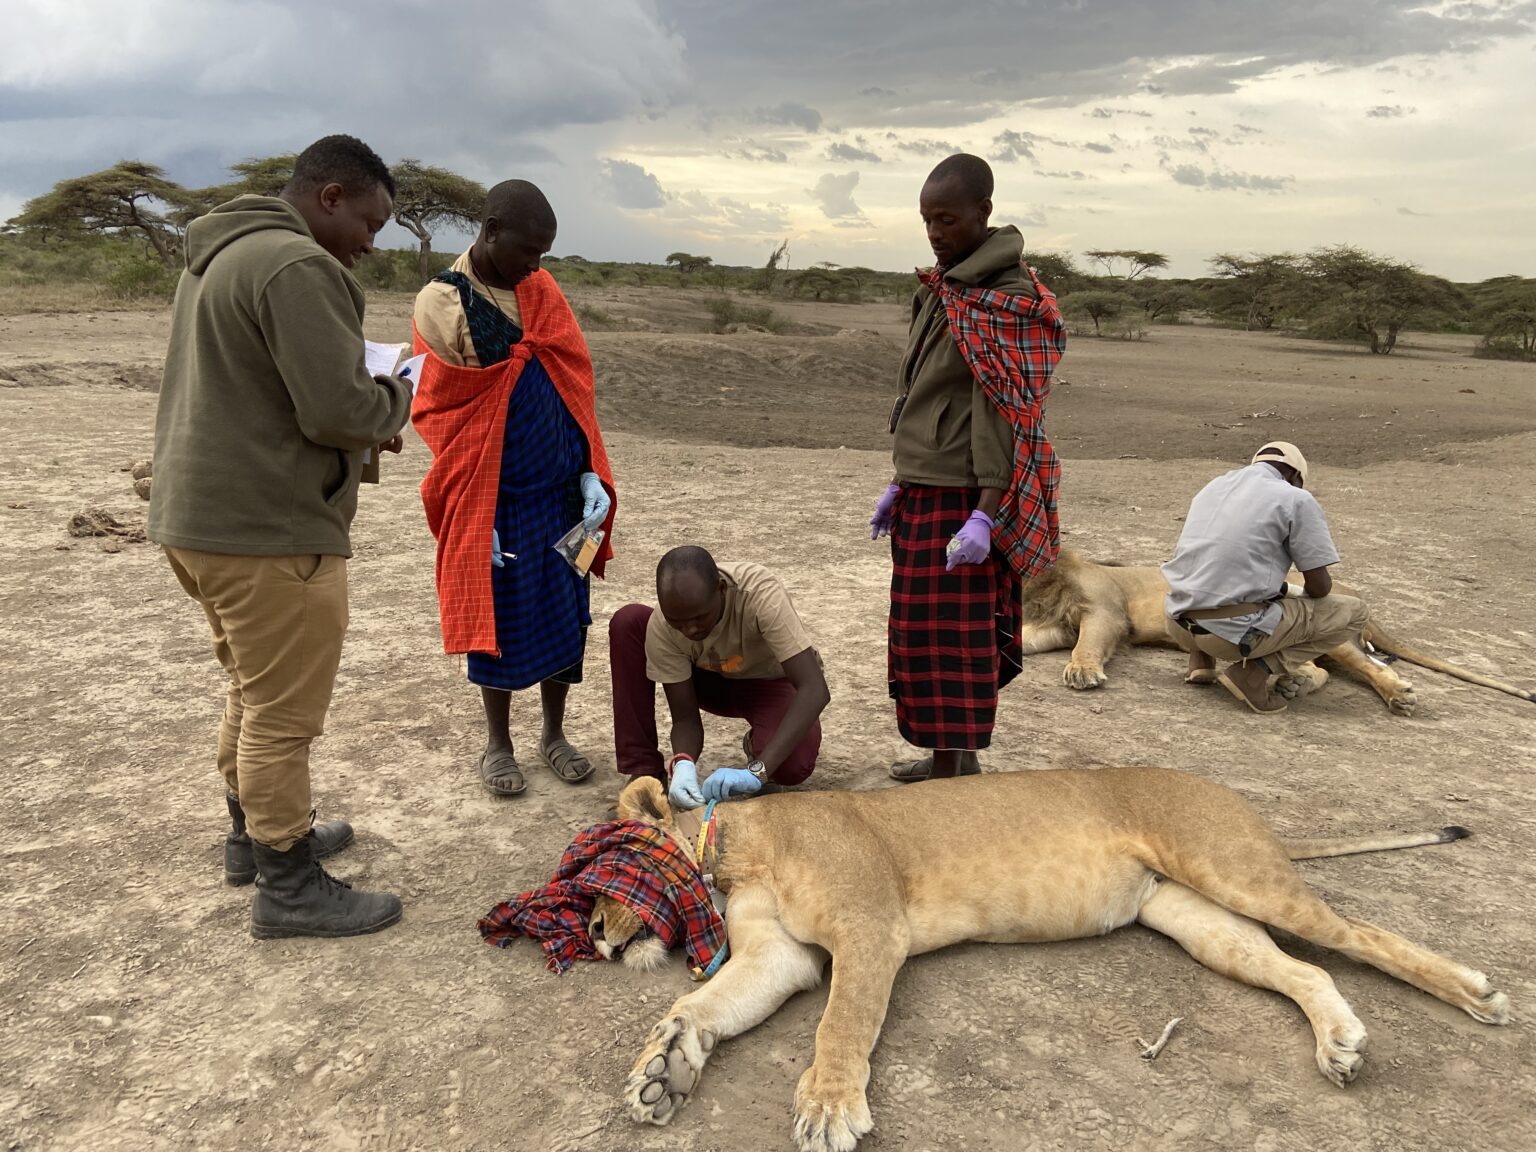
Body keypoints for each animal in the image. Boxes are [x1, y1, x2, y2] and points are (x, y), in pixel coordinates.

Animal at [592, 771, 1508, 1152]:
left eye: (597, 862)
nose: (596, 937)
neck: (733, 855)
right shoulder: (784, 955)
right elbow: (707, 1008)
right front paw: (664, 1067)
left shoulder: (870, 928)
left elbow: (841, 1024)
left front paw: (826, 1108)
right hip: (1191, 915)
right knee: (1306, 968)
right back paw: (1339, 1041)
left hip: (1232, 867)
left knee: (1359, 934)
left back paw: (1476, 993)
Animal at [1016, 549, 1535, 715]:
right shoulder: (1050, 627)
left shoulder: (1106, 612)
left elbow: (1088, 645)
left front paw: (1083, 672)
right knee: (1320, 669)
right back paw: (1290, 682)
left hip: (1327, 623)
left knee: (1365, 667)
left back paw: (1397, 694)